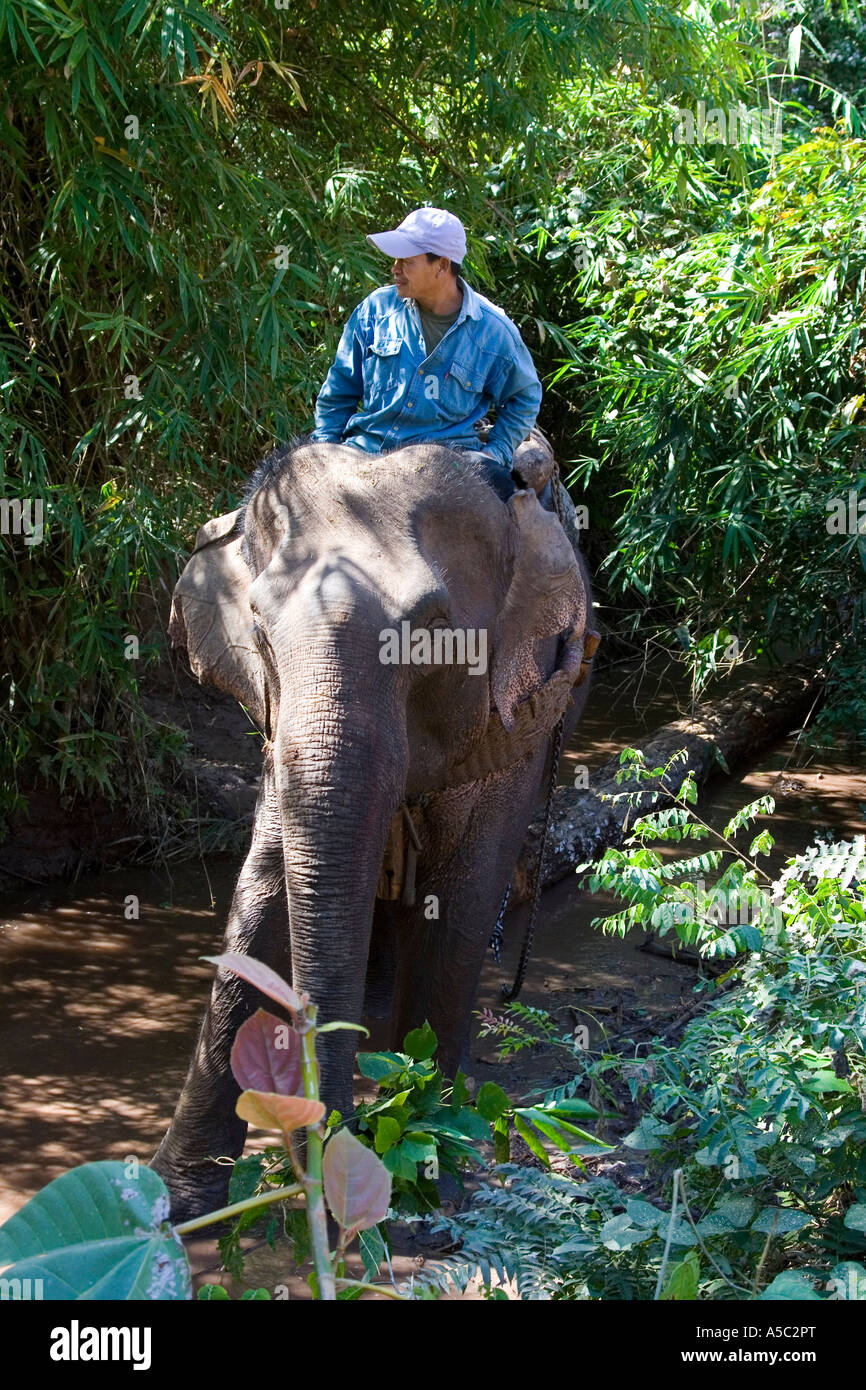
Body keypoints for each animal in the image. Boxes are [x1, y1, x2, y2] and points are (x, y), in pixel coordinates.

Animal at [151, 439, 598, 1220]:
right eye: (259, 632)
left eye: (435, 632)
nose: (335, 1143)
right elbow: (265, 882)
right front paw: (178, 1204)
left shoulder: (512, 713)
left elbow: (464, 890)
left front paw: (434, 1173)